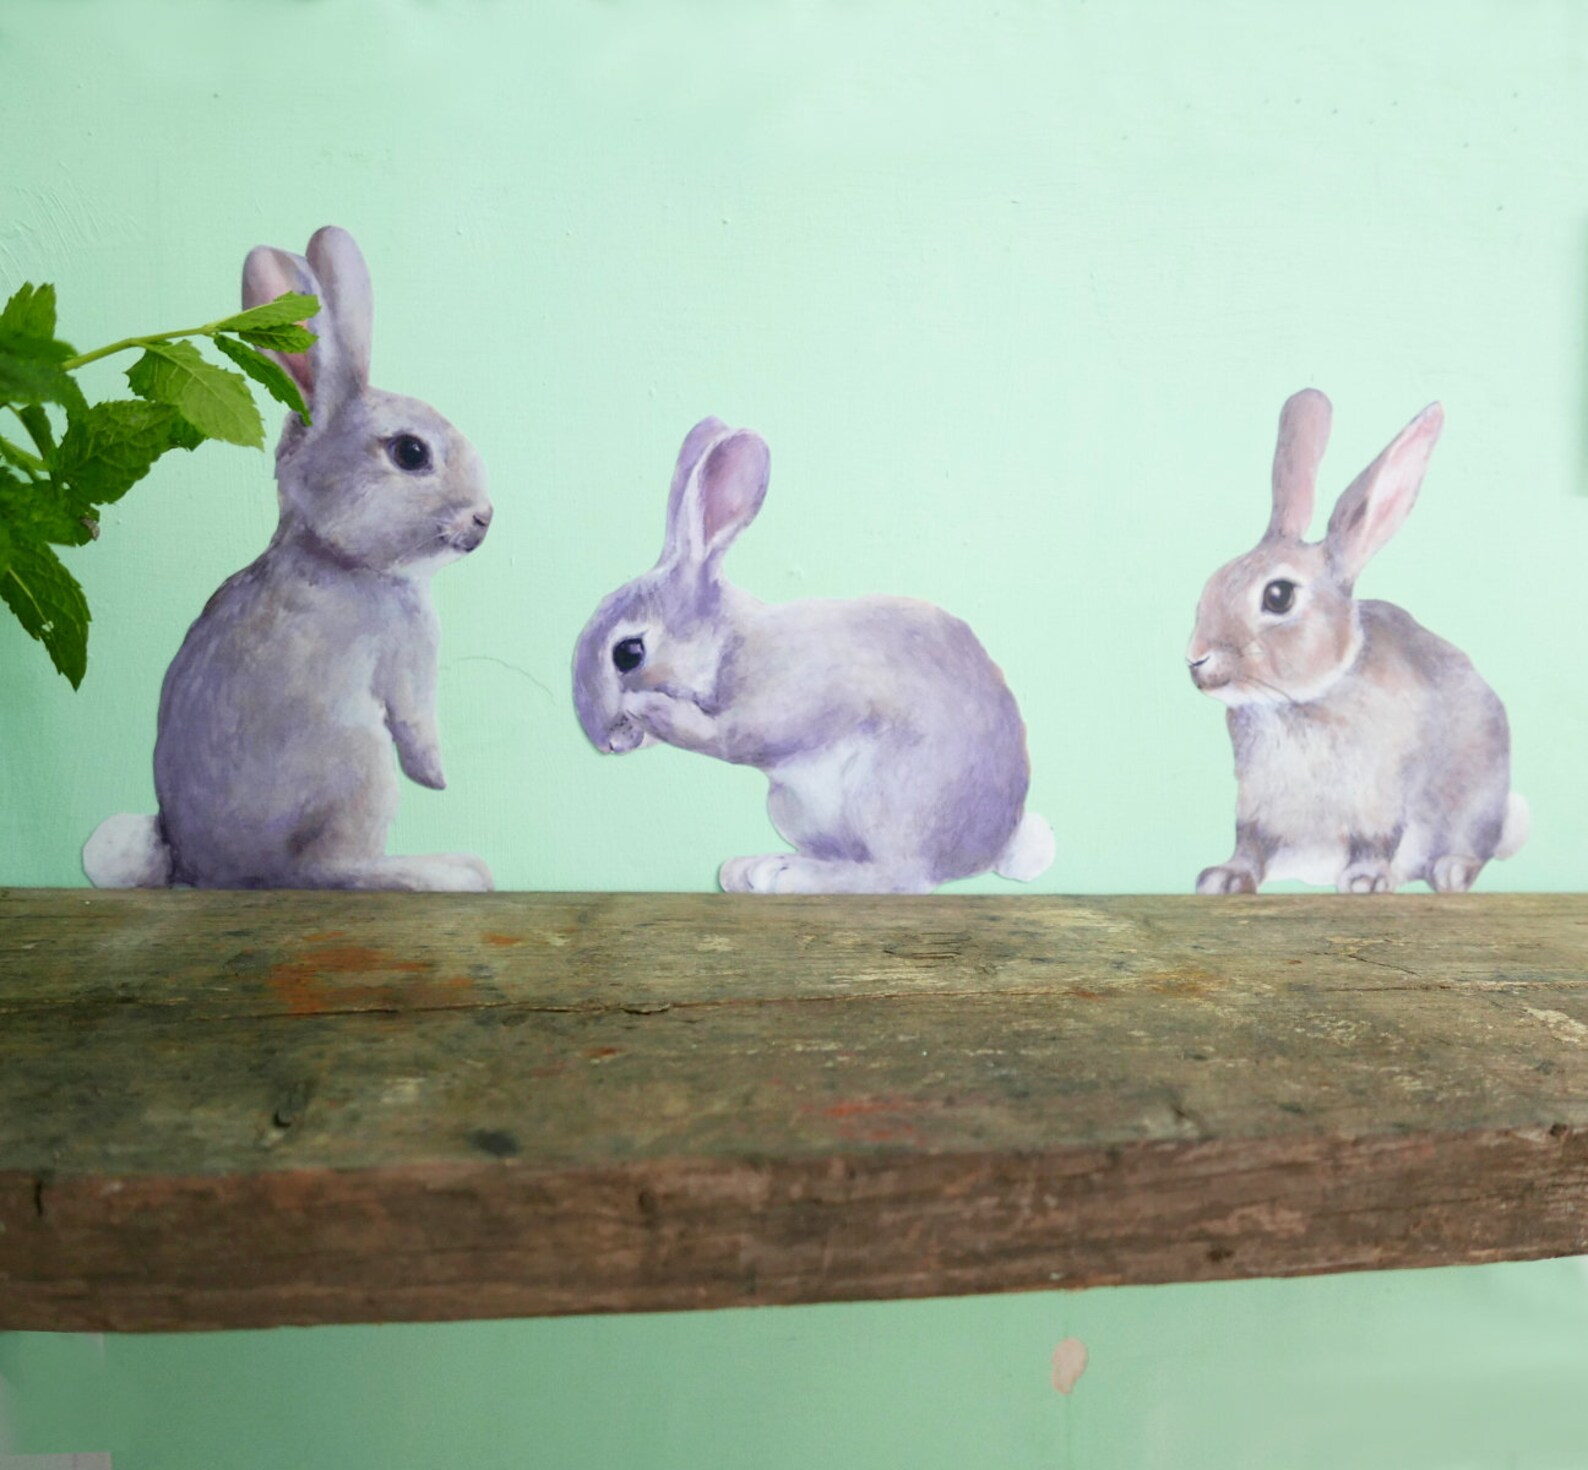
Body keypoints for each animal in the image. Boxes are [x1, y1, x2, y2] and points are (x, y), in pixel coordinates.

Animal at [82, 226, 494, 891]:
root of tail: (204, 871)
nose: (484, 519)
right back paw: (449, 872)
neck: (337, 556)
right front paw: (438, 778)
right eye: (410, 453)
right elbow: (418, 727)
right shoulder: (405, 663)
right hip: (361, 766)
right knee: (327, 872)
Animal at [572, 417, 1054, 894]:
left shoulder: (787, 698)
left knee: (901, 877)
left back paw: (783, 876)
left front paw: (654, 709)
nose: (605, 743)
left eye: (629, 652)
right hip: (796, 809)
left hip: (889, 791)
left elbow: (730, 736)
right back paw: (751, 869)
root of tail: (994, 847)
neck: (726, 642)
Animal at [1186, 388, 1527, 895]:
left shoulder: (1378, 798)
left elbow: (1375, 841)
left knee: (1474, 847)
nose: (1195, 658)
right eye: (1214, 580)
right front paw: (1224, 878)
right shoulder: (1256, 805)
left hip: (1476, 801)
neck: (1300, 702)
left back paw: (1452, 871)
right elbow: (1250, 845)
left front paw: (1365, 881)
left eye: (1278, 596)